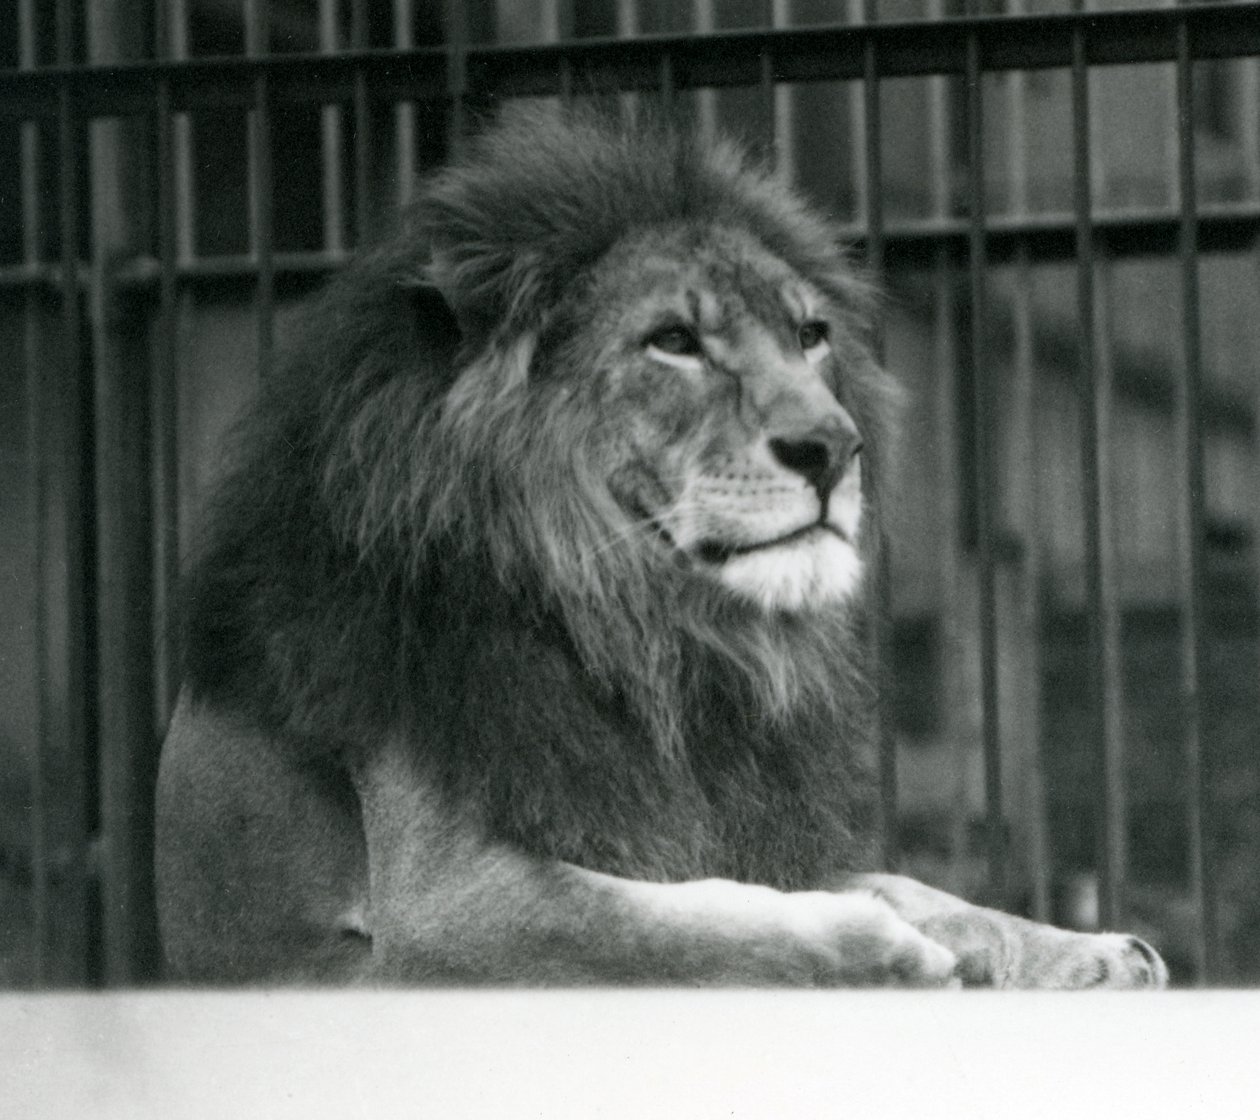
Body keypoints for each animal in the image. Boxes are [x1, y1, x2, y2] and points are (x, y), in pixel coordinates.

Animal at [155, 107, 1166, 988]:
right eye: (674, 341)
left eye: (810, 335)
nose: (835, 448)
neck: (652, 636)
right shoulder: (441, 906)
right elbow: (684, 923)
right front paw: (885, 954)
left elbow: (908, 888)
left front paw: (1091, 951)